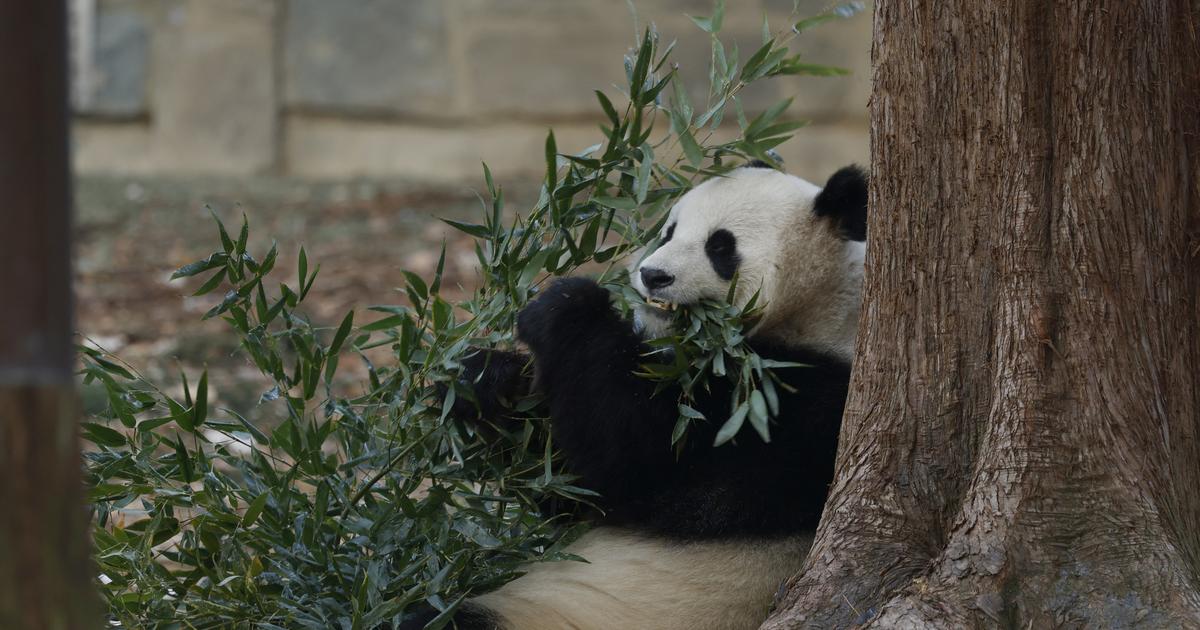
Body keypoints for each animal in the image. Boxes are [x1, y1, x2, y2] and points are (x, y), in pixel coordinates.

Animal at [401, 163, 868, 630]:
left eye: (721, 247)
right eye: (669, 232)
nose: (653, 276)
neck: (817, 313)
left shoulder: (790, 405)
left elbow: (634, 460)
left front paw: (567, 303)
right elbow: (564, 485)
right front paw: (481, 378)